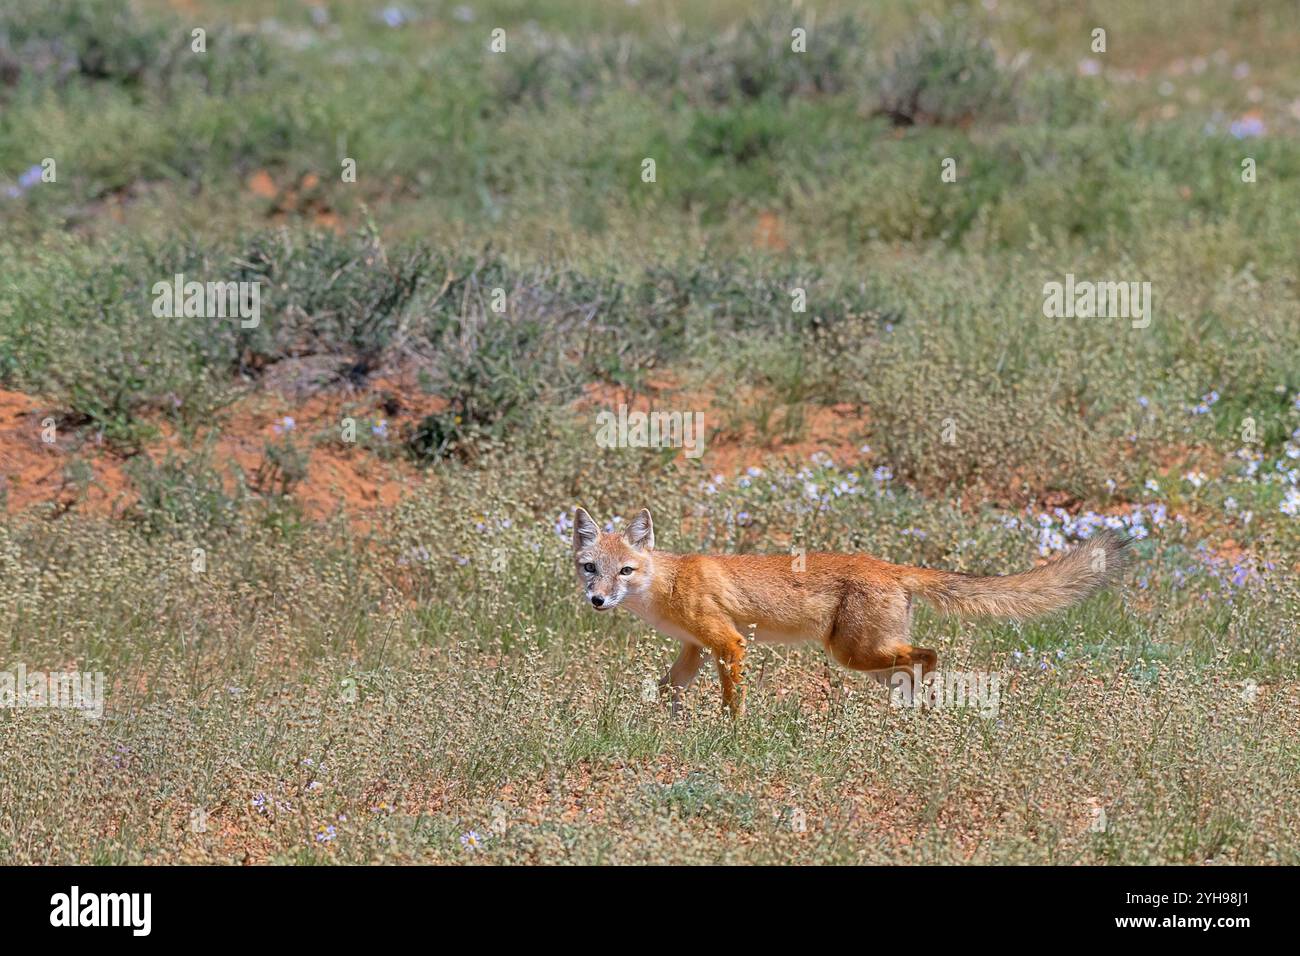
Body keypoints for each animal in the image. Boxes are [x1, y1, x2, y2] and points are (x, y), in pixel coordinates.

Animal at [572, 507, 1130, 716]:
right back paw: (906, 717)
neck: (664, 584)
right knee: (915, 664)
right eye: (589, 568)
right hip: (870, 658)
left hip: (853, 654)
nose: (597, 600)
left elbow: (733, 702)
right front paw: (654, 722)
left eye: (625, 570)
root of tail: (892, 565)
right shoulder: (694, 647)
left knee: (930, 655)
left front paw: (731, 732)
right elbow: (666, 690)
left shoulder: (728, 642)